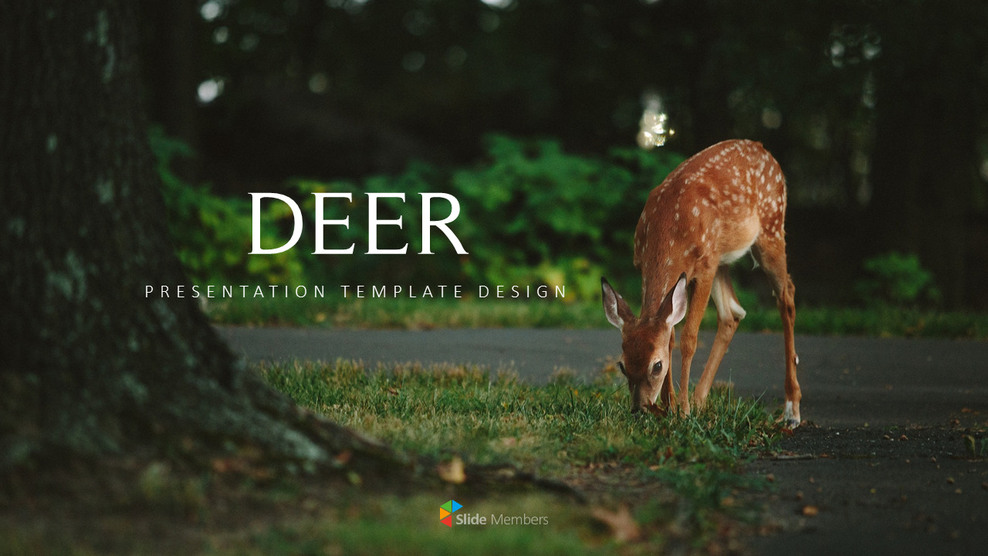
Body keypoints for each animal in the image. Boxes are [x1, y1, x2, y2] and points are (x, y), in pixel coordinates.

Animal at [601, 139, 801, 428]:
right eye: (622, 365)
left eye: (656, 366)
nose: (639, 409)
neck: (669, 229)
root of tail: (764, 150)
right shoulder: (647, 266)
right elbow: (670, 335)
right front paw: (670, 406)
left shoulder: (704, 268)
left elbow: (688, 338)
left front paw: (681, 411)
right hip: (723, 258)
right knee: (733, 313)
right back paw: (699, 400)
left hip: (770, 228)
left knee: (786, 296)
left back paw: (791, 410)